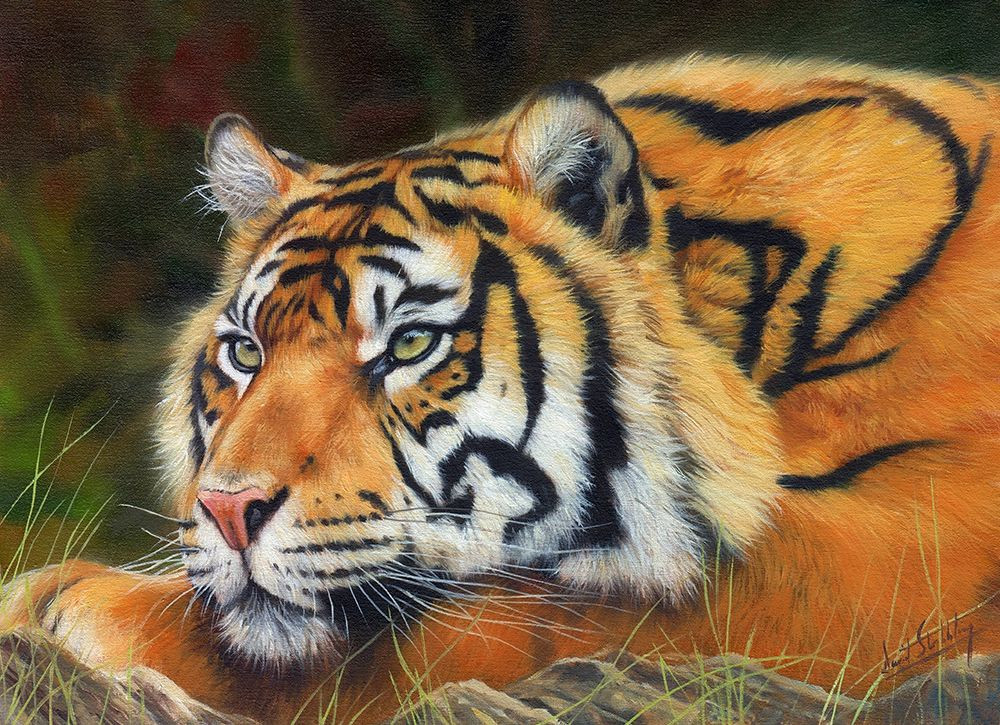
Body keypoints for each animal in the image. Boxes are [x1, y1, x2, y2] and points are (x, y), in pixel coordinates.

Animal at [4, 53, 1000, 723]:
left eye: (409, 342)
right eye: (247, 352)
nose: (224, 509)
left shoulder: (886, 557)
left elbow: (479, 625)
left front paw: (78, 603)